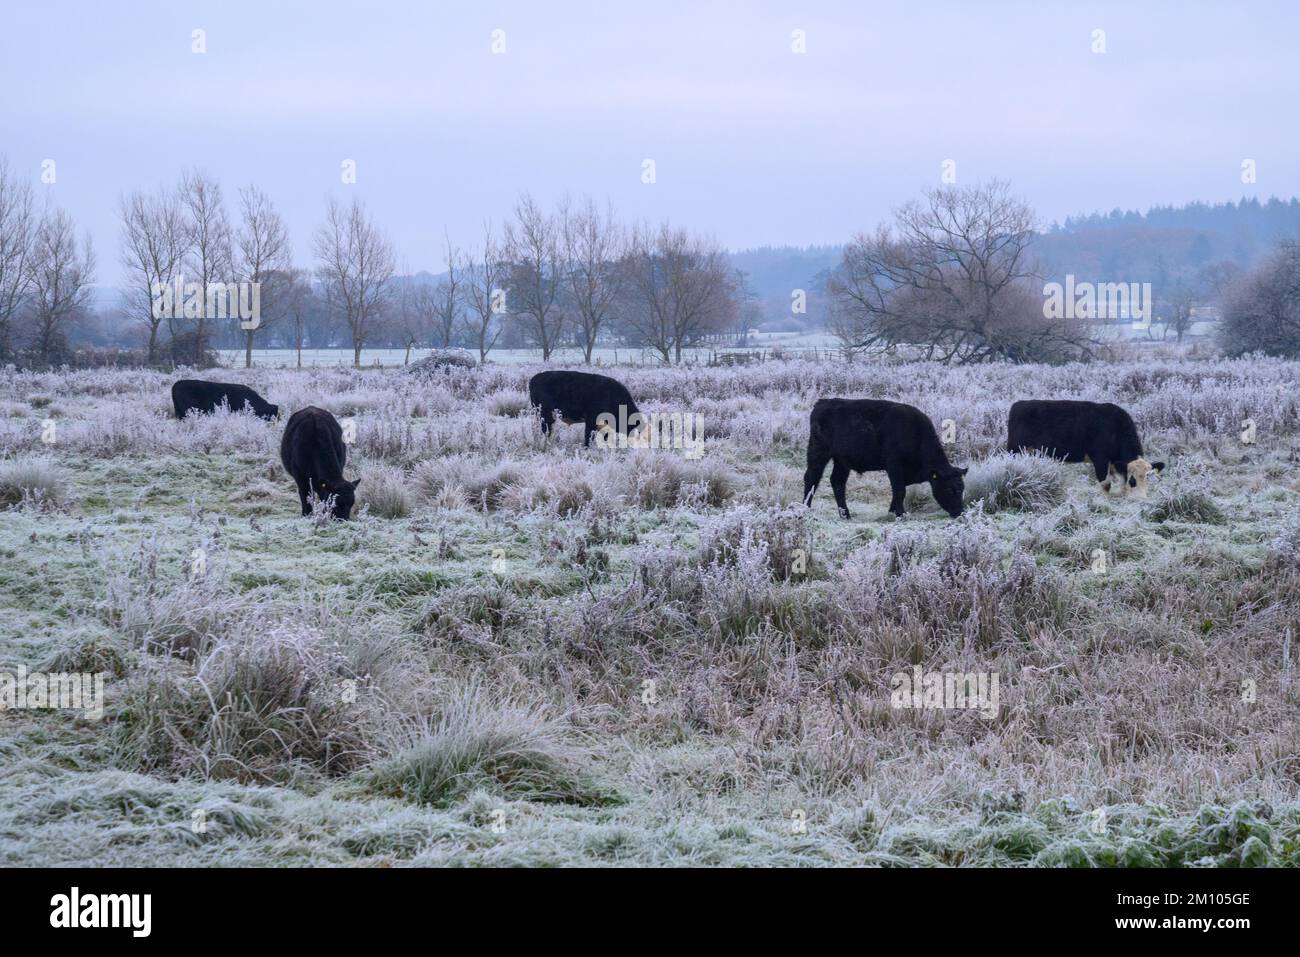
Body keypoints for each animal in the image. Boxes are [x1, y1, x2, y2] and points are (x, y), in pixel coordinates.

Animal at [803, 398, 968, 519]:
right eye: (949, 489)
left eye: (962, 488)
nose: (960, 511)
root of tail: (822, 402)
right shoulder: (894, 465)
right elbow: (900, 490)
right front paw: (901, 514)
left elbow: (898, 491)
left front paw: (892, 511)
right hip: (818, 452)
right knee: (812, 478)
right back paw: (805, 509)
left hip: (841, 461)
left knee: (837, 482)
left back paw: (845, 515)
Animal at [1006, 399, 1164, 496]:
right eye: (1133, 481)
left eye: (1148, 479)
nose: (1141, 499)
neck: (1116, 427)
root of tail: (1018, 404)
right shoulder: (1100, 458)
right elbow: (1106, 484)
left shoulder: (1115, 463)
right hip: (1015, 450)